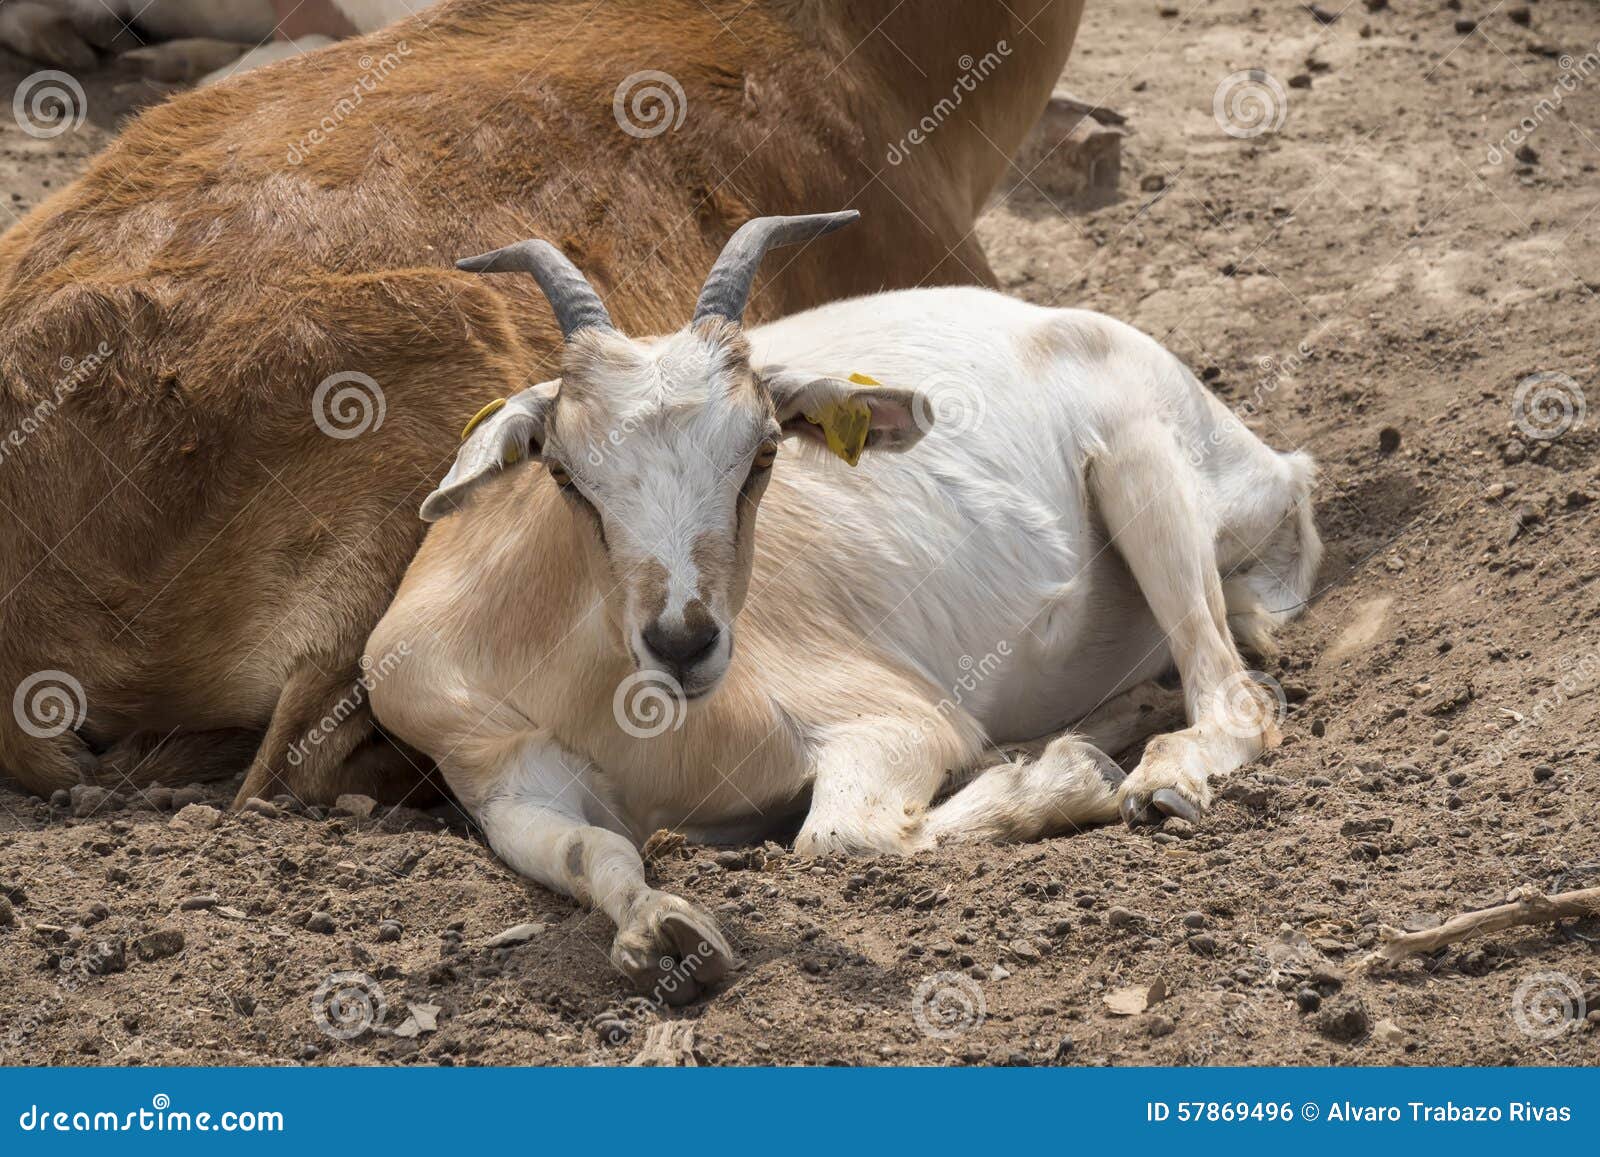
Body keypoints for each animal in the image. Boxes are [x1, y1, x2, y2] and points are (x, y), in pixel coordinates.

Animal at [364, 211, 1322, 1000]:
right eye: (564, 471)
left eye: (762, 452)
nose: (683, 640)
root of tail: (1275, 463)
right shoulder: (501, 778)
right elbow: (588, 846)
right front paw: (665, 935)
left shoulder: (896, 720)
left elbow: (841, 835)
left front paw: (1071, 777)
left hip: (1141, 467)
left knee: (1233, 695)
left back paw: (1152, 777)